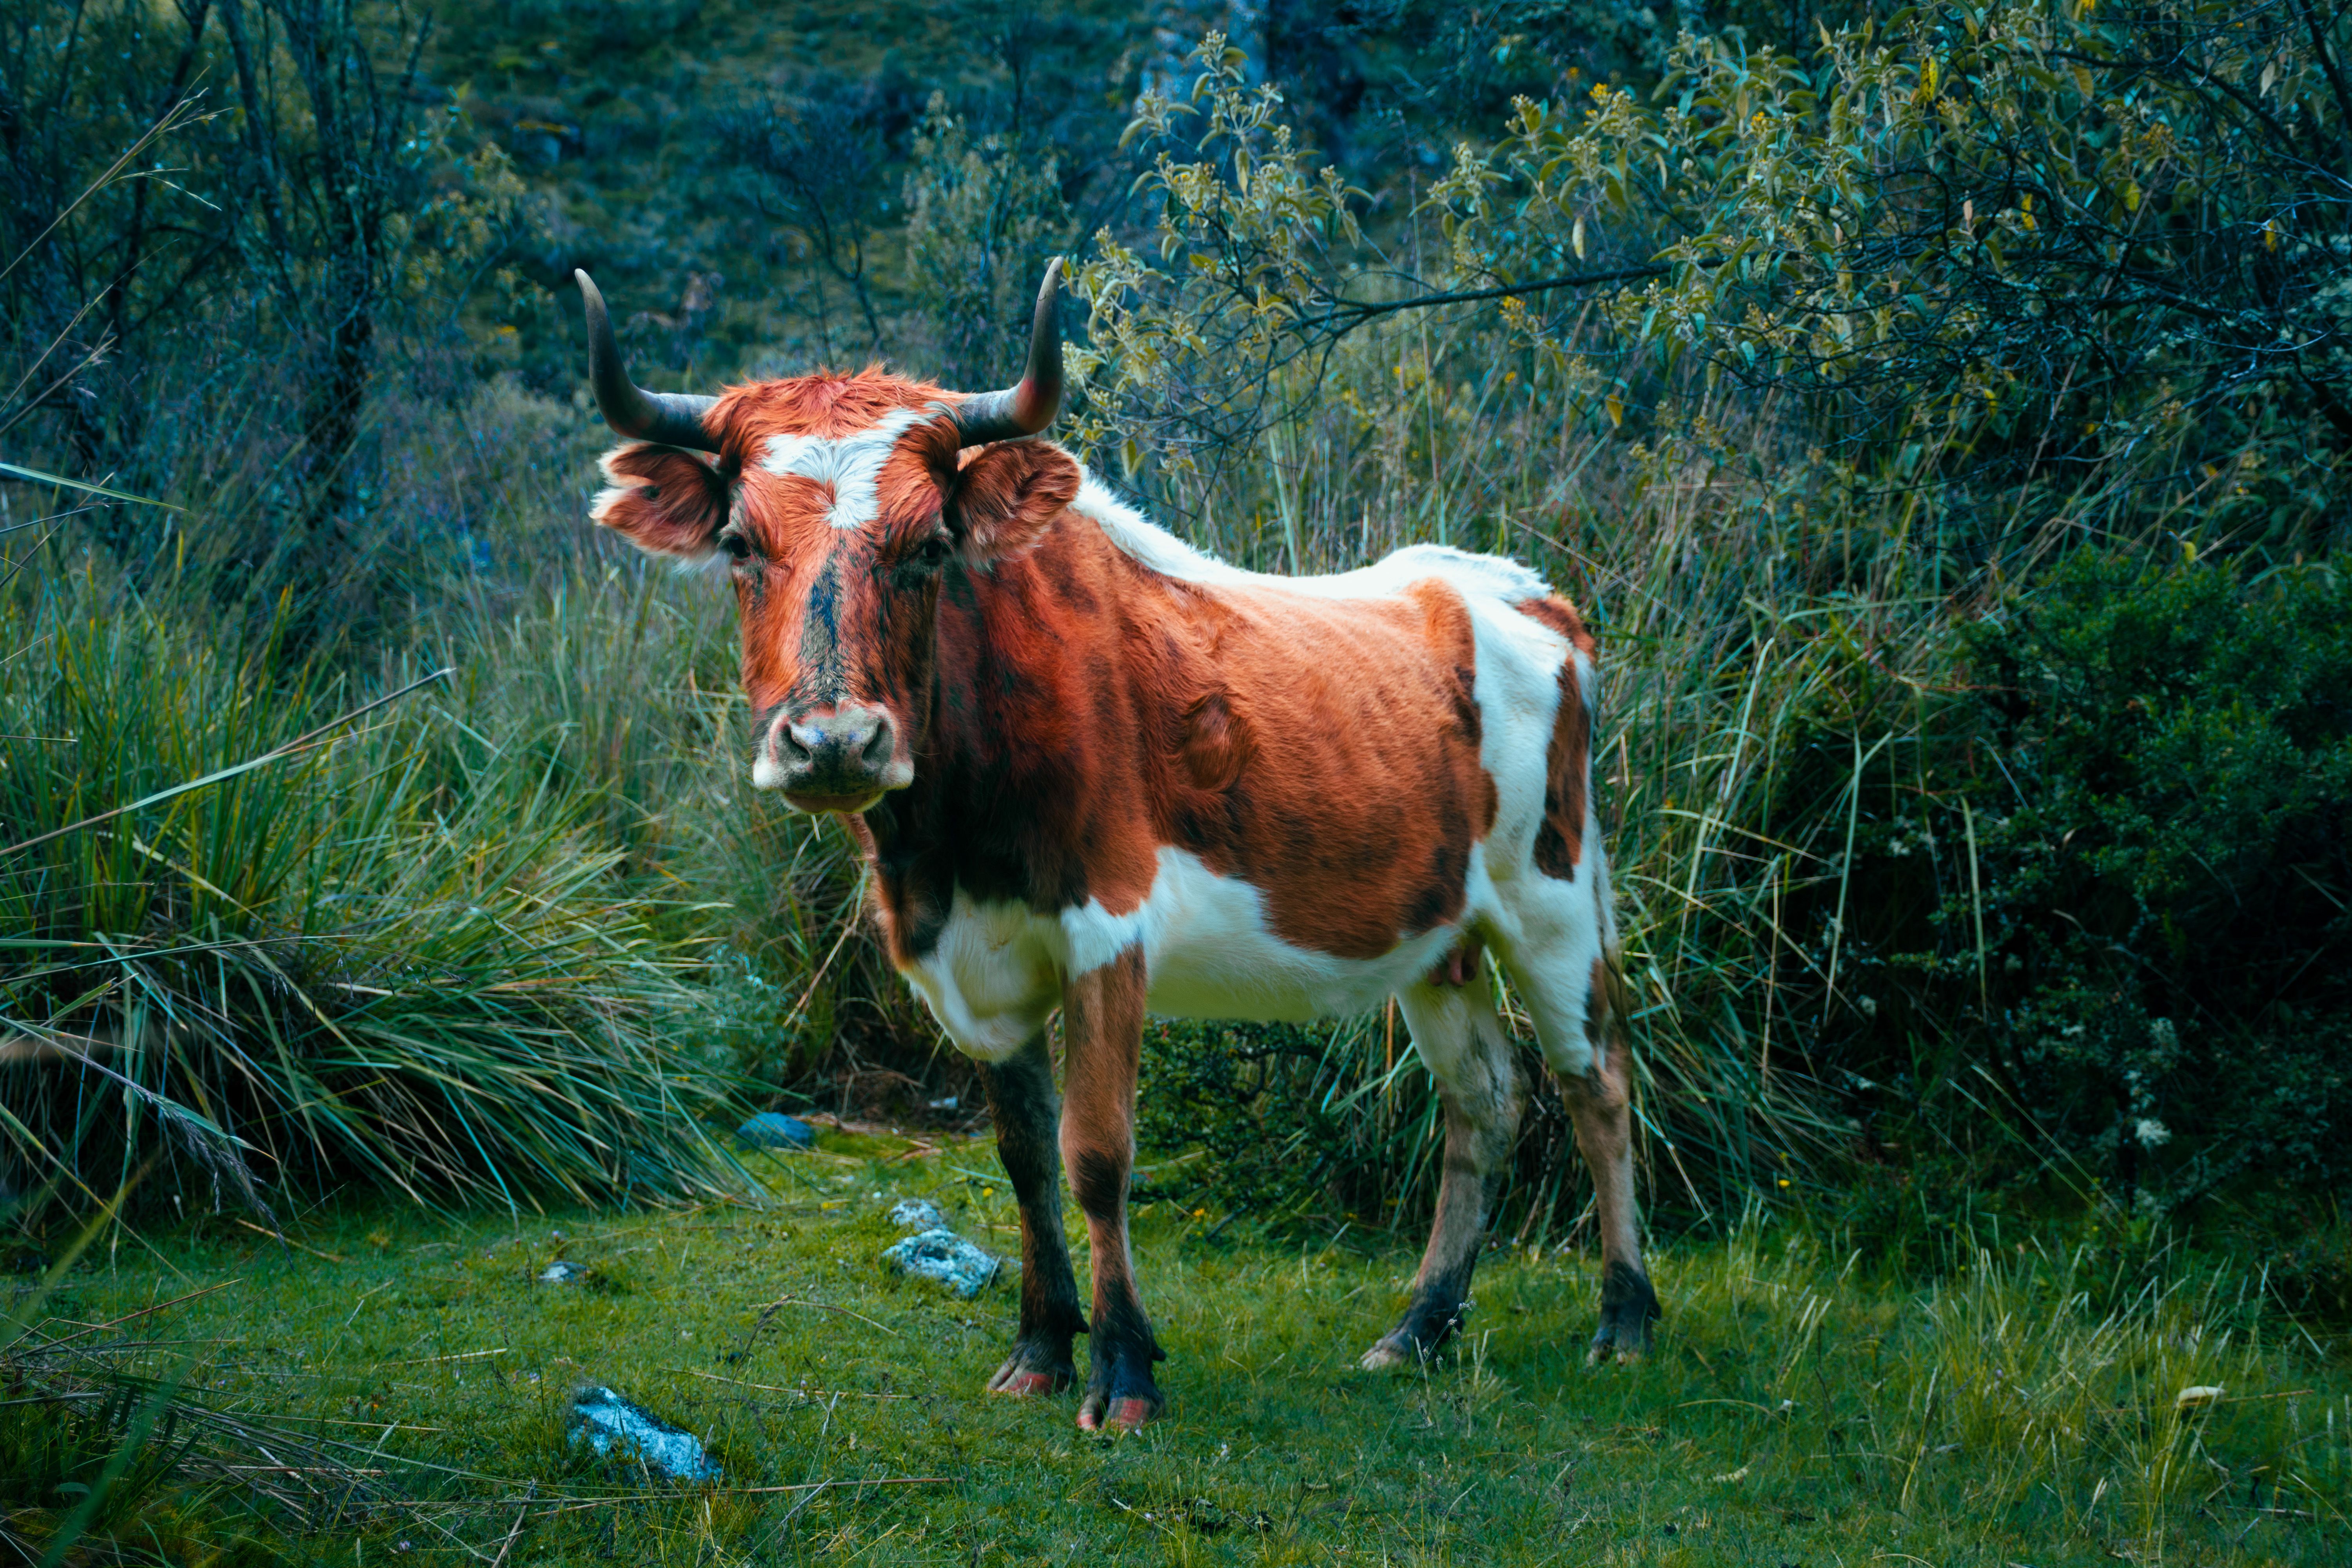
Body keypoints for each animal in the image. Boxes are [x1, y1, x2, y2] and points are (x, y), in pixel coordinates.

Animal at [573, 260, 1658, 1431]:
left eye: (929, 546)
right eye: (739, 545)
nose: (832, 742)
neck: (944, 845)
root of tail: (1510, 585)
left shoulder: (1109, 927)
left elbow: (1095, 1153)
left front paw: (1125, 1369)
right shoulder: (976, 966)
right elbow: (1022, 1157)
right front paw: (1042, 1349)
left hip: (1551, 903)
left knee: (1596, 1081)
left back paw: (1624, 1319)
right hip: (1441, 935)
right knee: (1485, 1100)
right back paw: (1417, 1329)